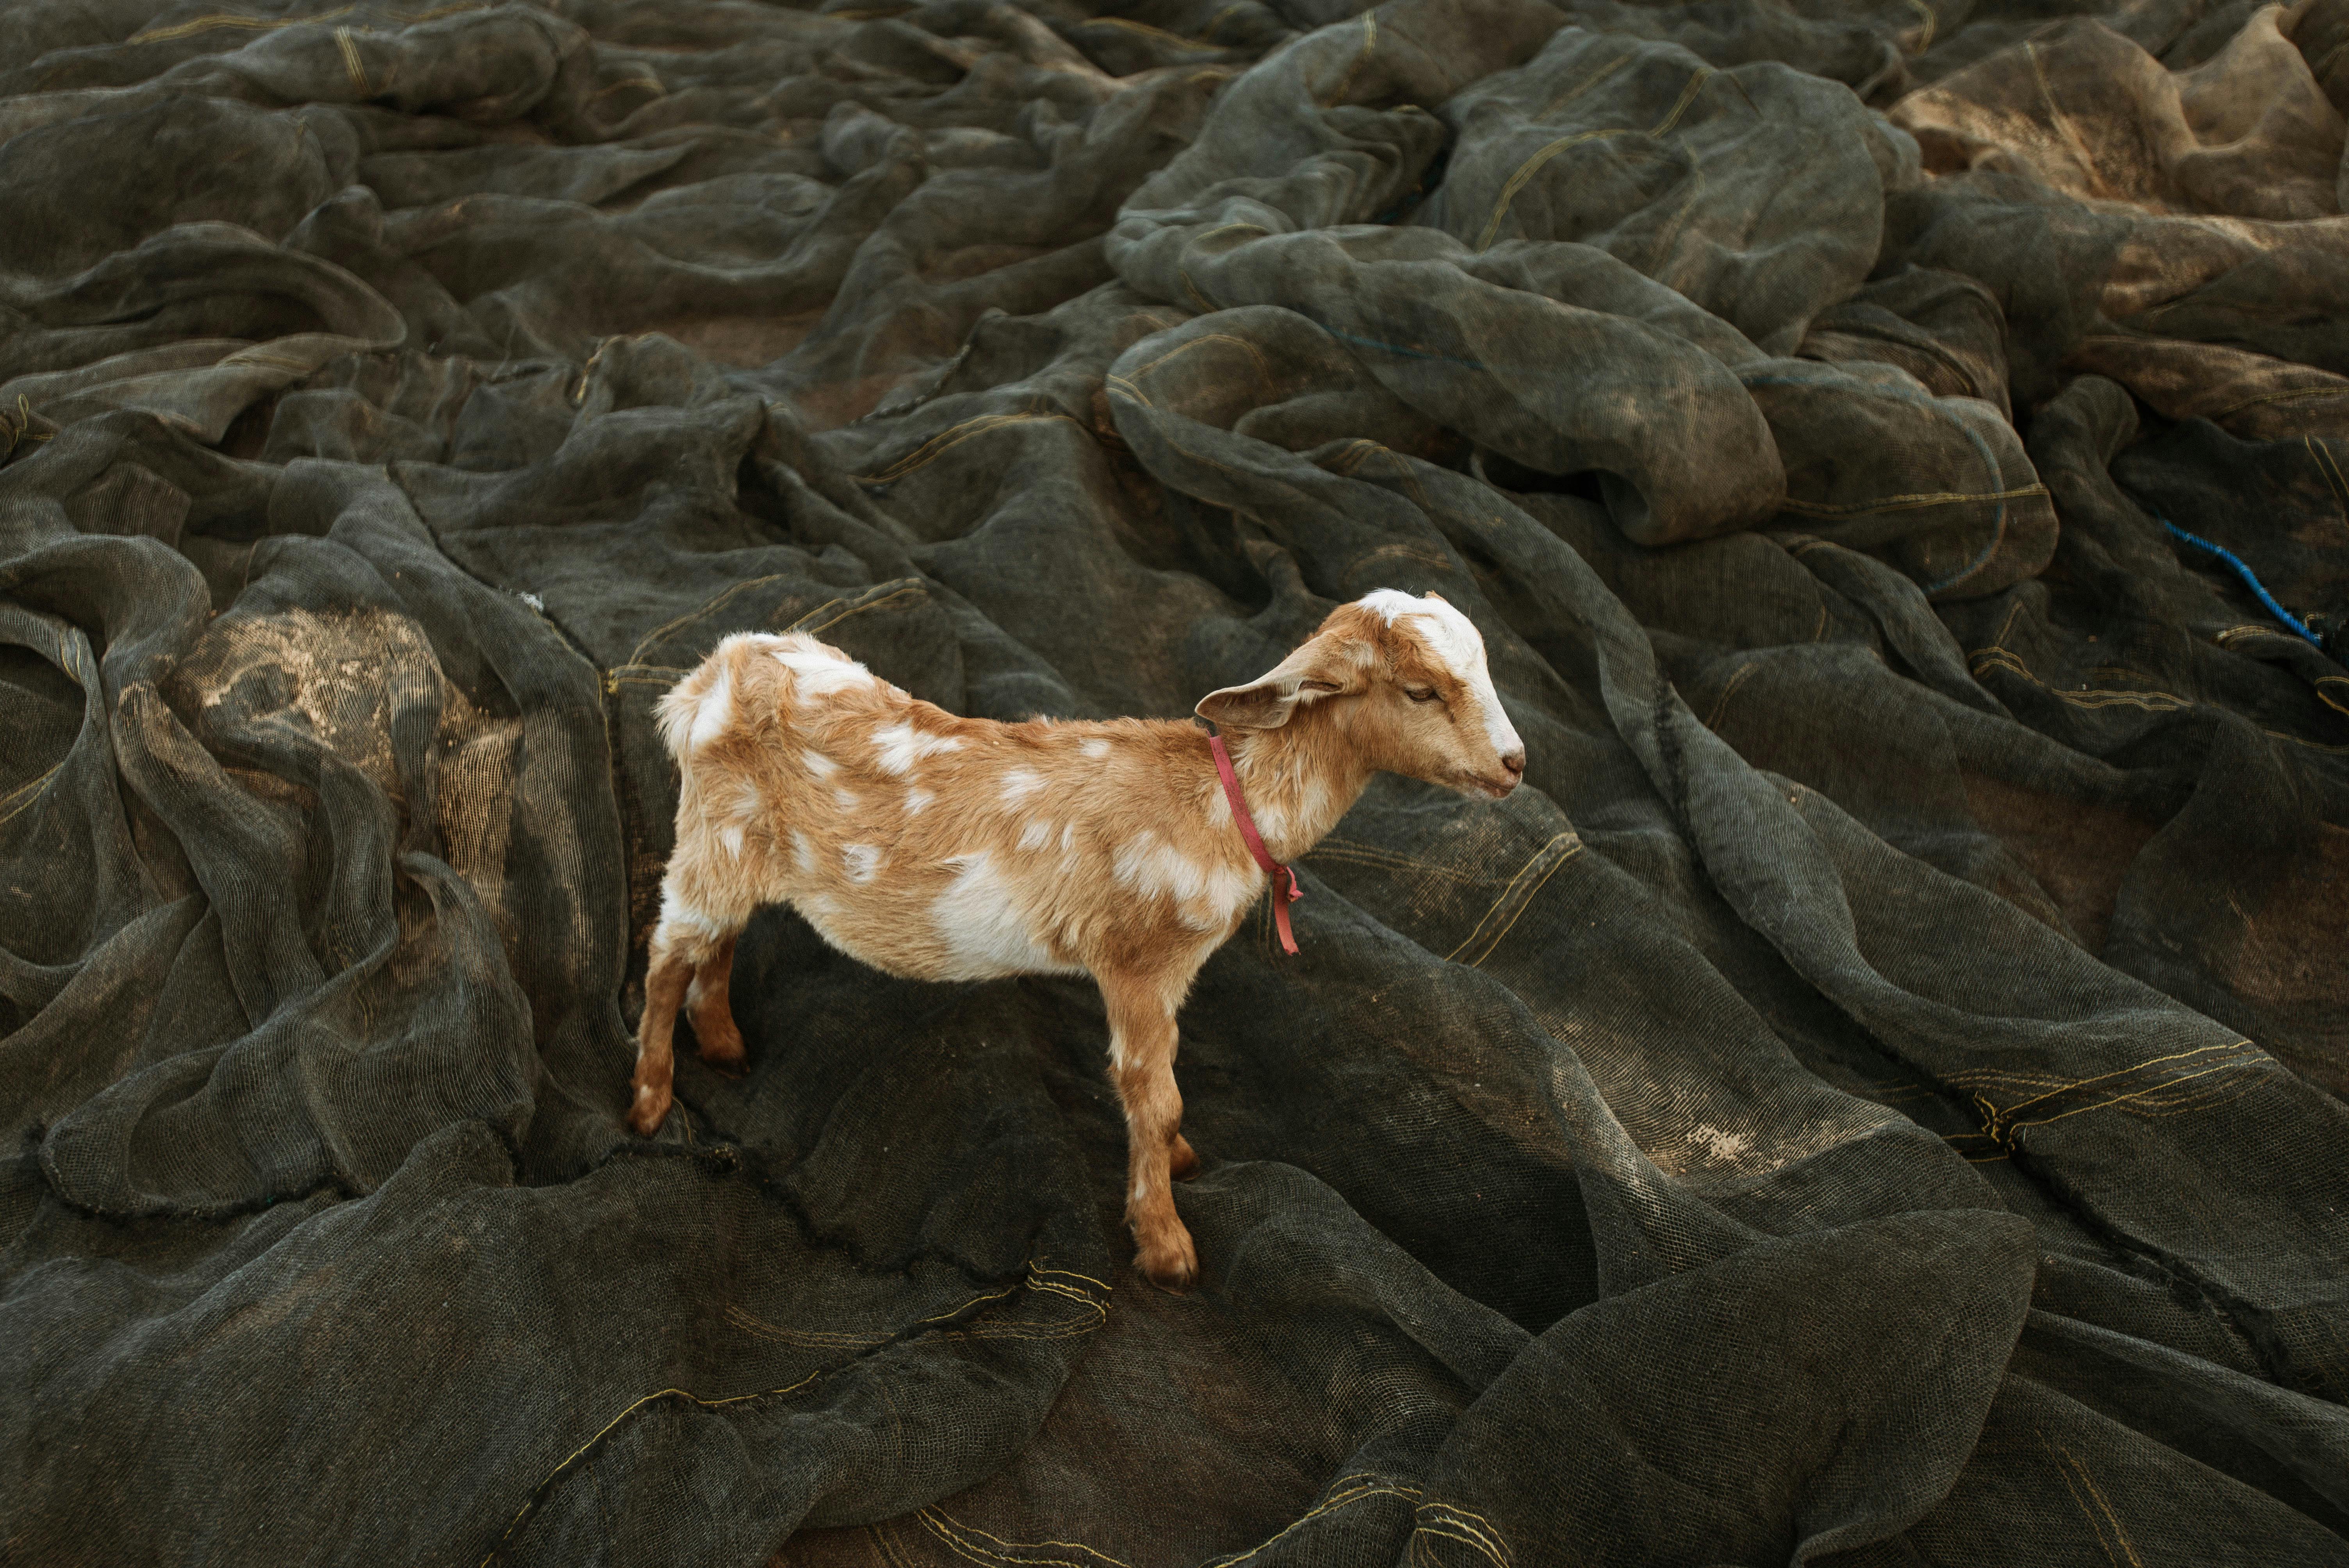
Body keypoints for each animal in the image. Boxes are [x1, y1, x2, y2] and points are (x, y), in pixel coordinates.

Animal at [629, 590, 1526, 1290]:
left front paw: (1181, 1165)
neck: (1221, 802)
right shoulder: (1137, 962)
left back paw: (724, 1044)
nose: (1516, 763)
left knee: (716, 943)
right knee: (667, 956)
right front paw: (1166, 1245)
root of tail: (714, 675)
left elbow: (1166, 1091)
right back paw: (650, 1100)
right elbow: (1151, 1095)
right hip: (710, 841)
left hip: (738, 851)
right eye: (1419, 690)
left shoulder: (1169, 973)